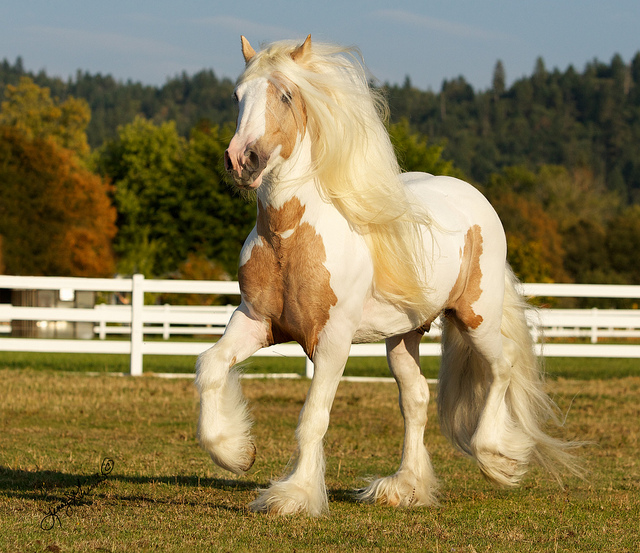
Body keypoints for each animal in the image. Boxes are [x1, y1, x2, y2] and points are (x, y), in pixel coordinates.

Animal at [195, 35, 582, 516]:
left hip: (476, 316)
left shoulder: (333, 341)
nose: (241, 161)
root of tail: (474, 199)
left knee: (503, 365)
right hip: (403, 336)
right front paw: (236, 452)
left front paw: (294, 497)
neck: (288, 236)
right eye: (237, 96)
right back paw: (404, 487)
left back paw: (497, 458)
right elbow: (210, 365)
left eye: (285, 95)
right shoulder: (255, 322)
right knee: (416, 399)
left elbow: (313, 418)